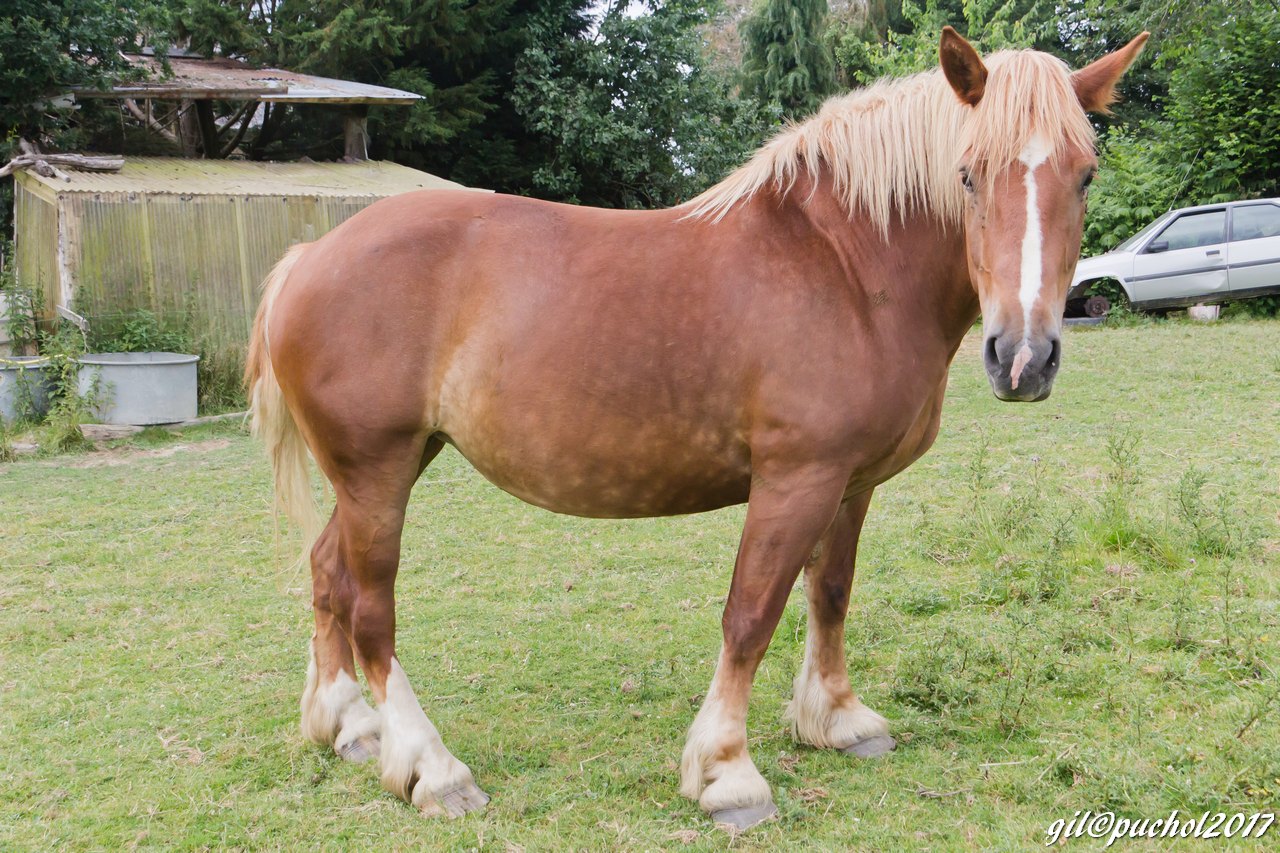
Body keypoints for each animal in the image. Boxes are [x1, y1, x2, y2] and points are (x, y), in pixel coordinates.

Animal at [245, 27, 1148, 829]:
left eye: (1085, 176)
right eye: (968, 173)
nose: (1023, 357)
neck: (846, 266)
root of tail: (309, 256)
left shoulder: (849, 482)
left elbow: (830, 592)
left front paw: (837, 719)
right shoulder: (795, 479)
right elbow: (751, 613)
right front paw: (727, 773)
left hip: (385, 468)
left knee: (327, 573)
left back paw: (349, 726)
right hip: (377, 469)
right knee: (371, 607)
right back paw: (433, 769)